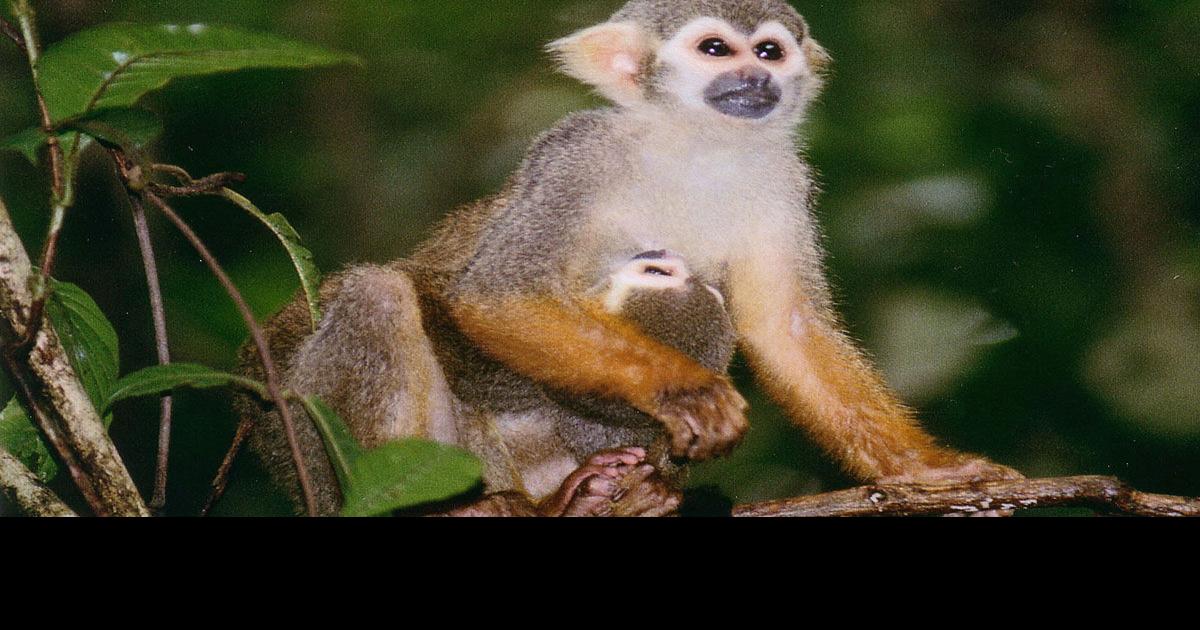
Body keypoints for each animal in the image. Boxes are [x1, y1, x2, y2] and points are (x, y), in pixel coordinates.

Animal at [237, 0, 1021, 517]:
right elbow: (498, 291)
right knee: (379, 294)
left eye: (769, 52)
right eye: (716, 50)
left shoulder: (782, 181)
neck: (695, 146)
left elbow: (787, 330)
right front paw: (683, 390)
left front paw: (931, 471)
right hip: (305, 443)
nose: (757, 81)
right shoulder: (578, 154)